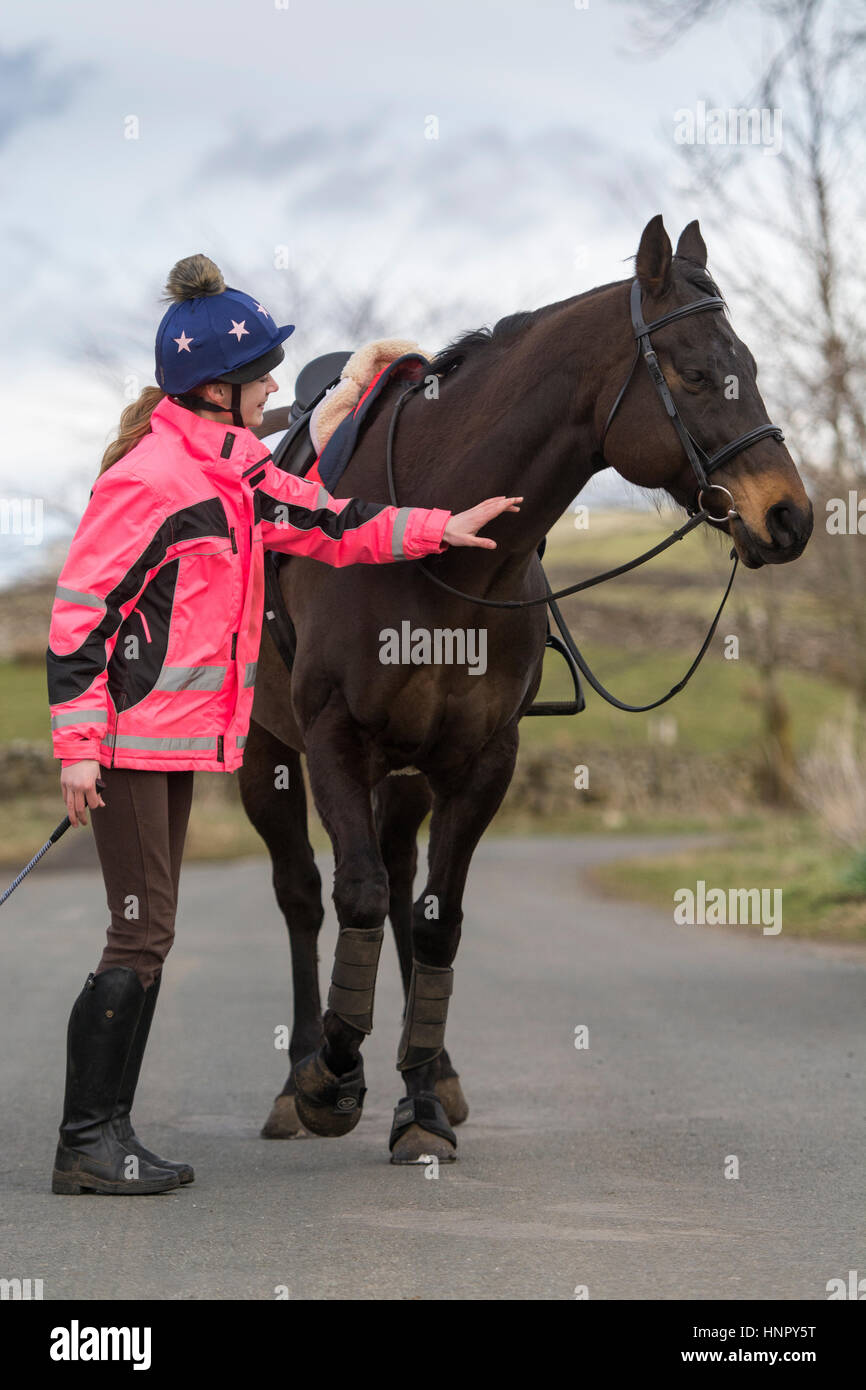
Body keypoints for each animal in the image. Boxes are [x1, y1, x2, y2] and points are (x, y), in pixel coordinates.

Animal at [238, 215, 812, 1163]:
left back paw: (432, 1072)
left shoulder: (480, 760)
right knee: (301, 895)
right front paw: (332, 1079)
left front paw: (420, 1102)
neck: (437, 545)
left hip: (407, 771)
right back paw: (296, 1079)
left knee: (402, 883)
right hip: (267, 755)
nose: (790, 516)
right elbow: (353, 894)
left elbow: (435, 917)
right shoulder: (331, 741)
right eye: (695, 373)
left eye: (753, 368)